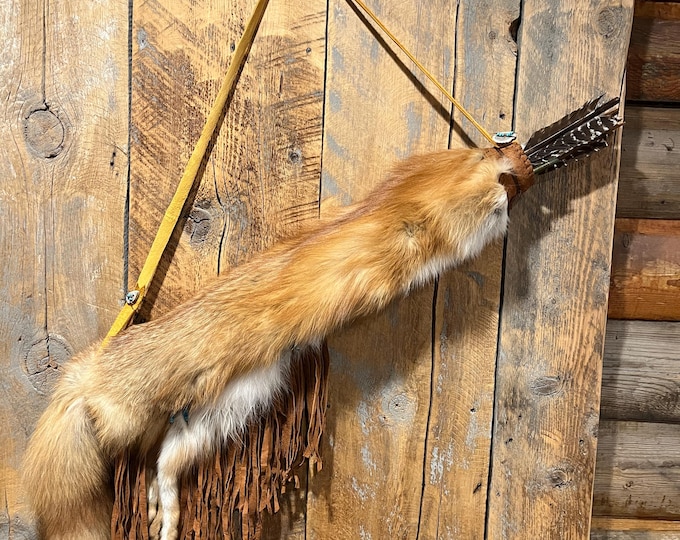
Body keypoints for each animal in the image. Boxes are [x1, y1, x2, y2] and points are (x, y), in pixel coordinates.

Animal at [23, 147, 514, 540]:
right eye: (485, 156)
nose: (508, 155)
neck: (387, 207)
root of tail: (85, 373)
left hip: (223, 411)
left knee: (163, 463)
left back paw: (166, 515)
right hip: (179, 411)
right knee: (154, 457)